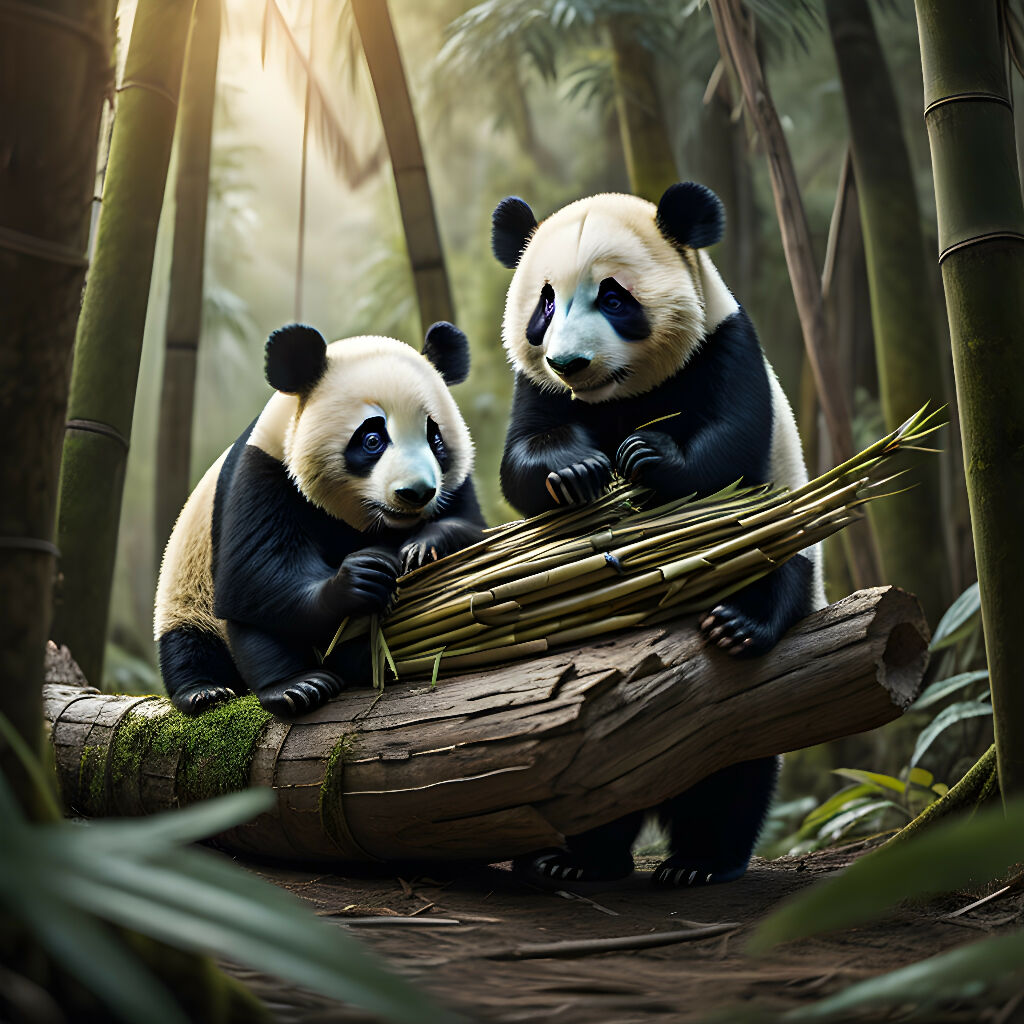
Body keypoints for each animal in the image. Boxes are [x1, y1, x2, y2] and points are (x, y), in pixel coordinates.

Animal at [154, 321, 485, 719]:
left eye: (435, 438)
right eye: (372, 439)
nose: (416, 492)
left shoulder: (455, 484)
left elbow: (473, 528)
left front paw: (423, 547)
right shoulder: (264, 473)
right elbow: (257, 577)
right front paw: (361, 577)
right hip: (188, 586)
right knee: (208, 630)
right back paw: (270, 687)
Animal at [491, 182, 826, 888]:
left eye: (613, 297)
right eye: (545, 304)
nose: (570, 361)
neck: (617, 396)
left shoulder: (726, 344)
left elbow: (730, 444)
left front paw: (648, 457)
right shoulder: (535, 384)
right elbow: (522, 456)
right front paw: (578, 469)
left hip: (779, 534)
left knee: (735, 766)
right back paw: (576, 859)